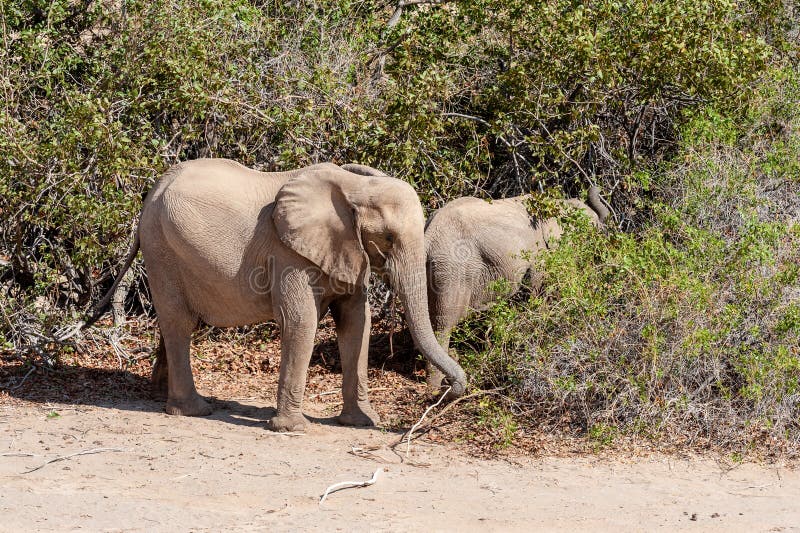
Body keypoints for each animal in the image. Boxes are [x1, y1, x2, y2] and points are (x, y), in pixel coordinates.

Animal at [86, 158, 467, 432]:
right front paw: (292, 429)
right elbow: (302, 321)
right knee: (180, 323)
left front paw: (361, 423)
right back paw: (194, 410)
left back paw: (159, 393)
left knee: (172, 323)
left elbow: (357, 322)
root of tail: (151, 193)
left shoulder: (347, 252)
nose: (447, 392)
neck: (354, 187)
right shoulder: (287, 254)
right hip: (161, 246)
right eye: (388, 238)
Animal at [340, 163, 609, 392]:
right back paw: (436, 387)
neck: (555, 205)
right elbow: (537, 293)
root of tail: (428, 237)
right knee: (443, 323)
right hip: (452, 272)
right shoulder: (539, 255)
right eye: (592, 234)